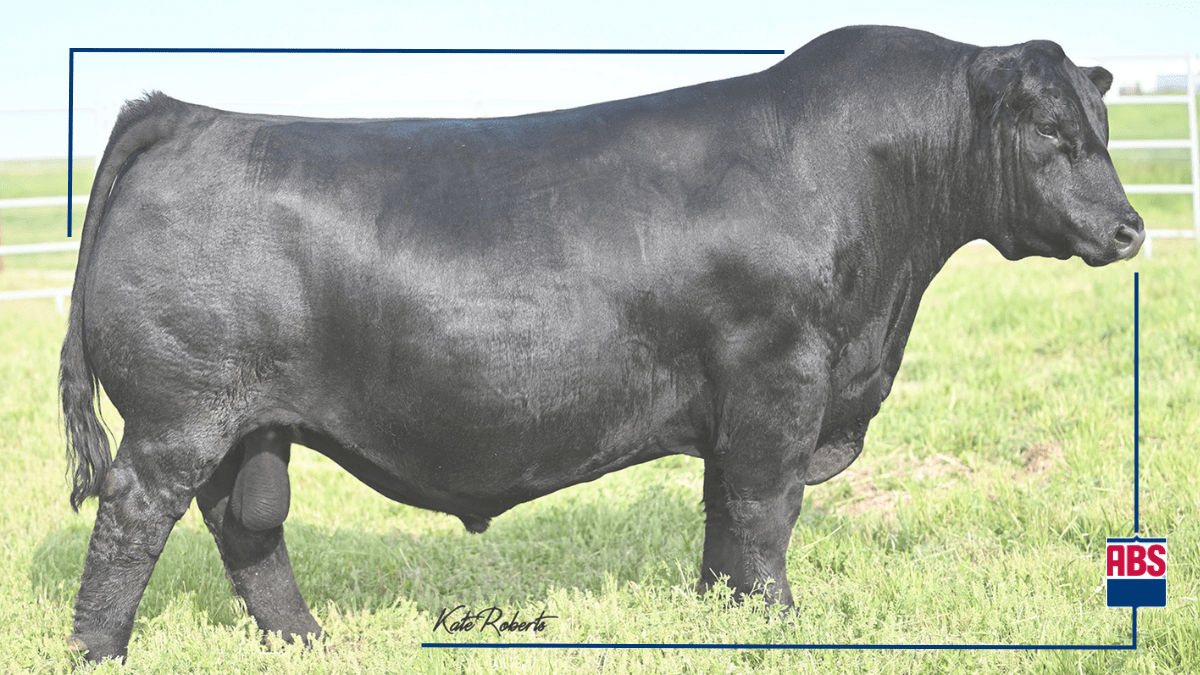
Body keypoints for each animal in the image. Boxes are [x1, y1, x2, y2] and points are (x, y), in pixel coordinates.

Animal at [60, 25, 1143, 661]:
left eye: (1101, 124)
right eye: (1052, 132)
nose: (1130, 228)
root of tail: (186, 114)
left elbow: (724, 521)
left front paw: (719, 616)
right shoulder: (780, 382)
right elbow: (764, 513)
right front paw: (777, 626)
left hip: (249, 423)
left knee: (248, 524)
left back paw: (310, 643)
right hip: (177, 416)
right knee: (133, 519)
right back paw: (100, 652)